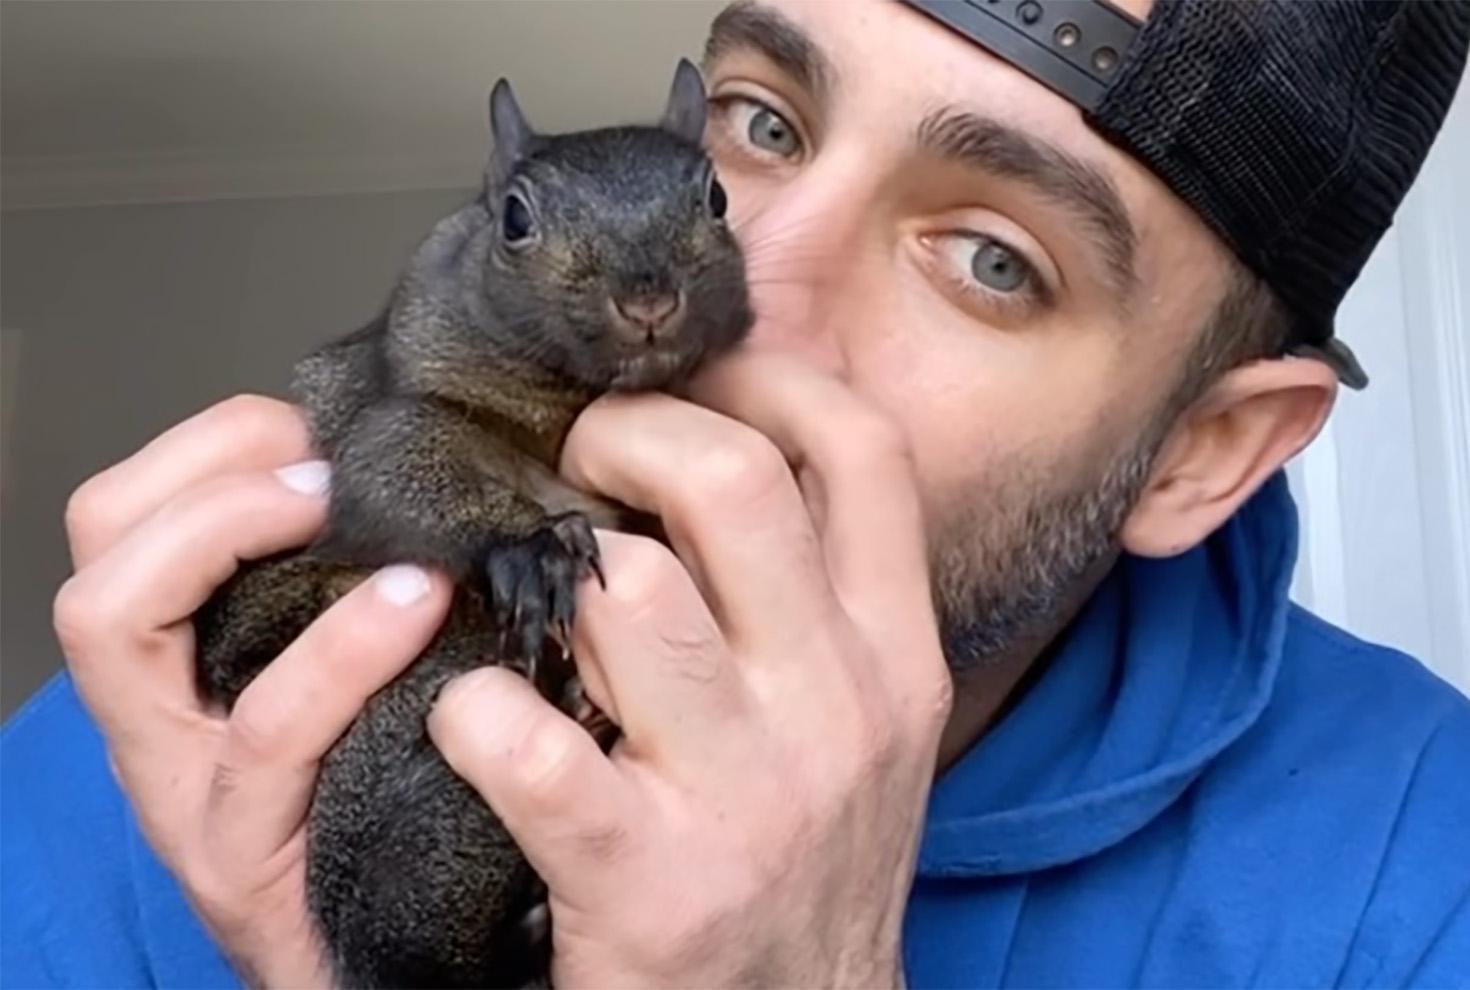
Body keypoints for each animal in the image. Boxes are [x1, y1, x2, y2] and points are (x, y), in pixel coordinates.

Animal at [189, 58, 754, 990]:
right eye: (515, 218)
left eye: (717, 197)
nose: (648, 299)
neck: (573, 398)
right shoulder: (397, 411)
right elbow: (394, 474)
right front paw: (530, 548)